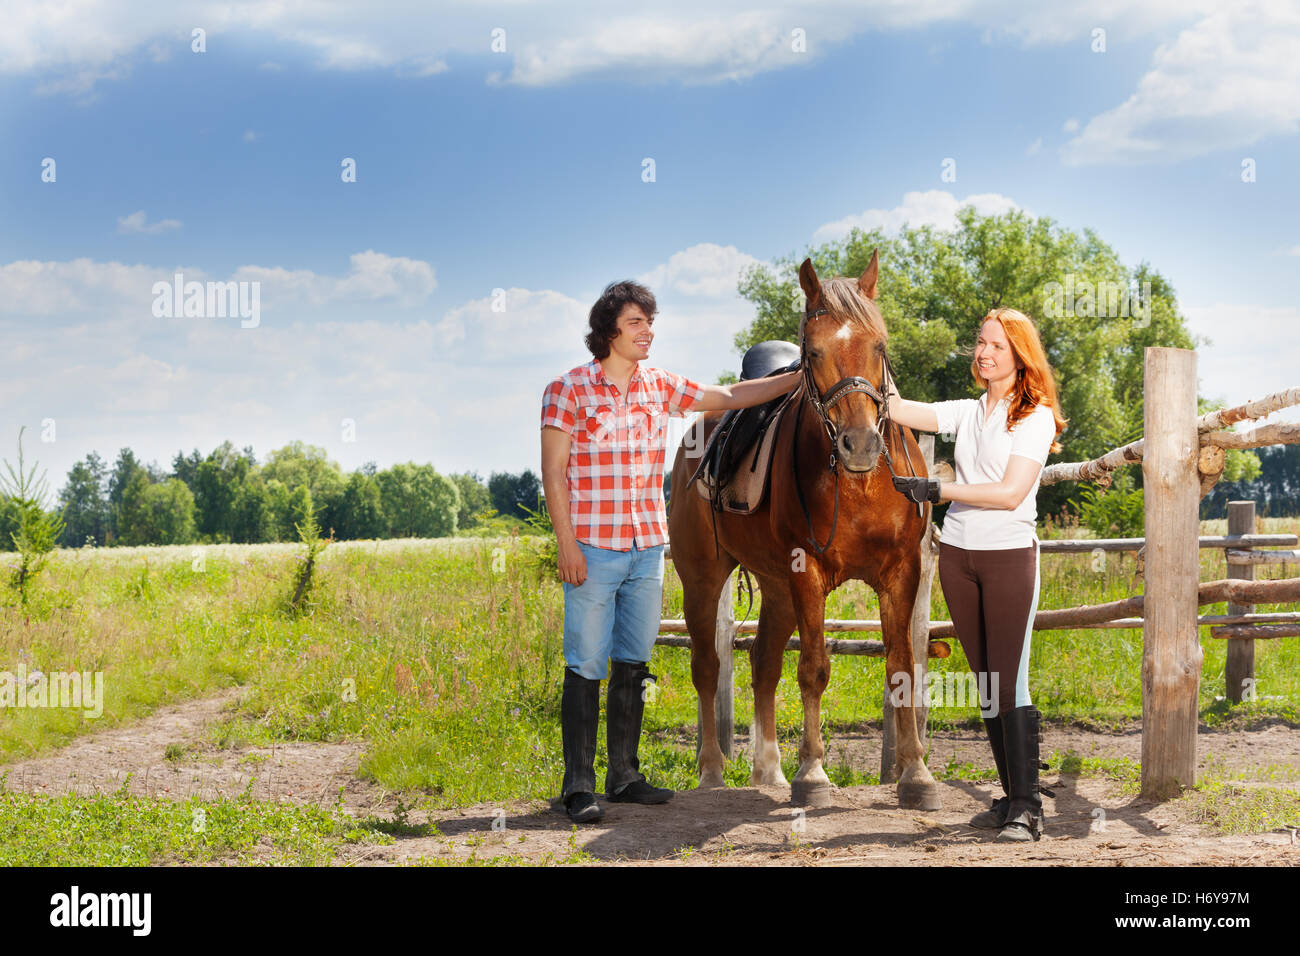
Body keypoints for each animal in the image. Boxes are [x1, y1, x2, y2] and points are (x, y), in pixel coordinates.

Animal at [667, 250, 941, 809]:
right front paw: (813, 773)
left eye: (880, 345)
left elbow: (901, 668)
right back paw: (713, 770)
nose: (860, 444)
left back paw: (769, 769)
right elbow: (814, 669)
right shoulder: (807, 571)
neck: (858, 485)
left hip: (777, 588)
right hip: (704, 578)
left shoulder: (901, 572)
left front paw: (915, 773)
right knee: (707, 667)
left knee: (763, 664)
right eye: (812, 352)